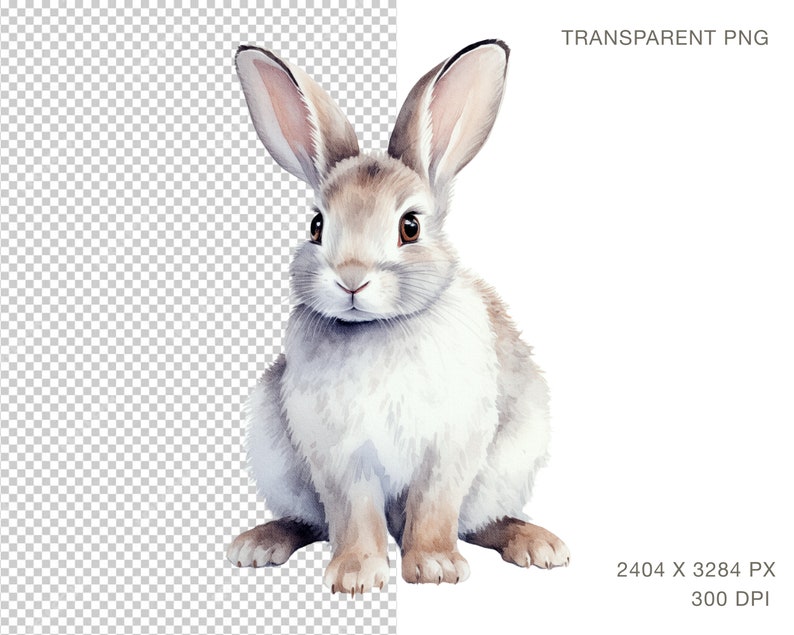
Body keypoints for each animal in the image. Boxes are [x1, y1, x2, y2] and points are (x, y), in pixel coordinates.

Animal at [226, 39, 569, 595]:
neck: (377, 329)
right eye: (316, 225)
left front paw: (434, 569)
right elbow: (353, 514)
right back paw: (258, 545)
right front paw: (356, 576)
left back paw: (537, 545)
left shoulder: (450, 446)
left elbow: (434, 507)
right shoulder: (339, 455)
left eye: (411, 226)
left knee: (478, 521)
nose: (351, 278)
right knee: (312, 520)